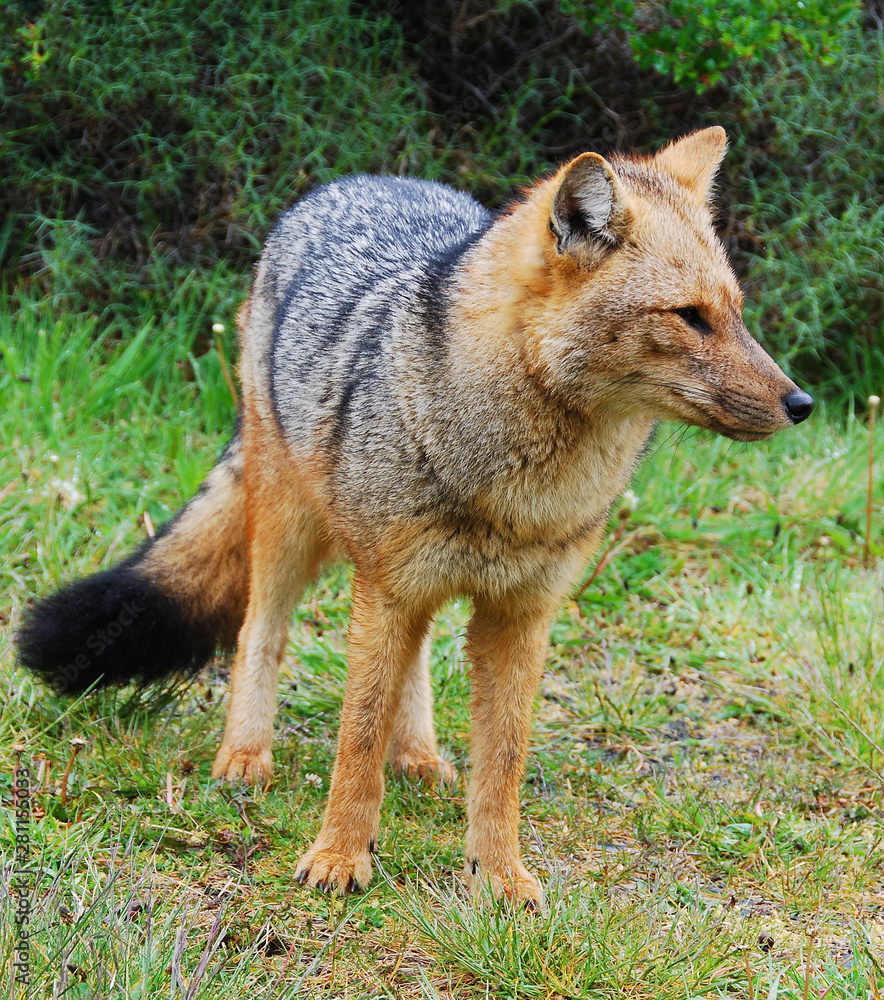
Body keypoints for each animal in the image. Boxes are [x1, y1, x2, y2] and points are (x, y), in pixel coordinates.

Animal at [18, 127, 813, 905]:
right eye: (690, 318)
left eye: (735, 313)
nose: (800, 403)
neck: (517, 490)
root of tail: (364, 180)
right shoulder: (388, 591)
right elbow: (357, 737)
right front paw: (339, 857)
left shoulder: (520, 615)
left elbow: (503, 760)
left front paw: (498, 874)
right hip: (291, 532)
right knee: (258, 632)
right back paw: (245, 755)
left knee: (417, 659)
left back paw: (420, 755)